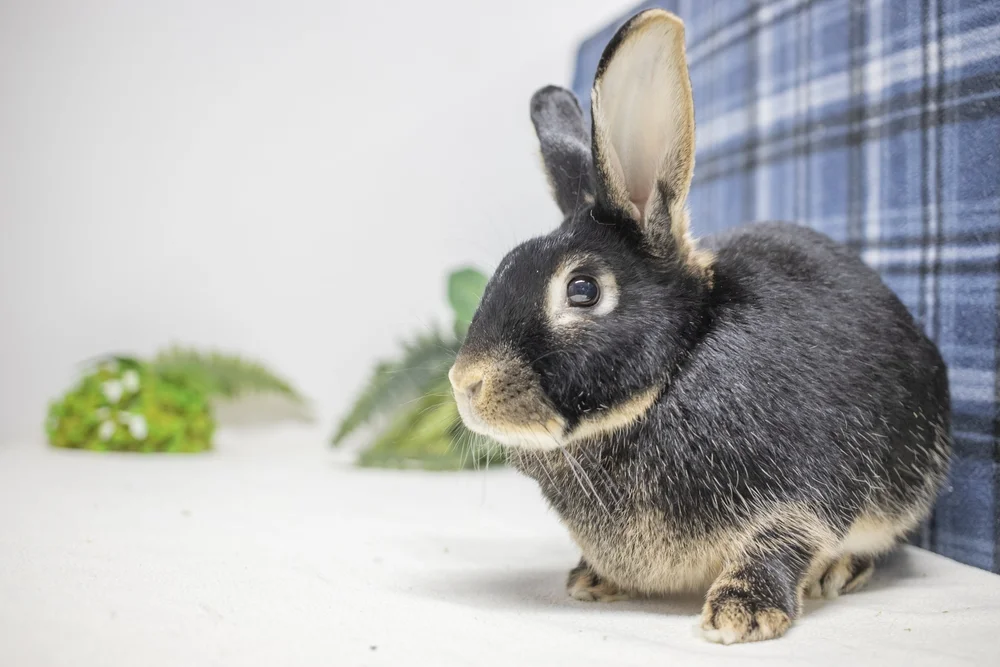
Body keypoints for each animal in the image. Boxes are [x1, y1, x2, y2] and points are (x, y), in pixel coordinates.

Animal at [448, 9, 951, 644]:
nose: (465, 384)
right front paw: (591, 579)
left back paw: (835, 573)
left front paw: (741, 614)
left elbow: (783, 540)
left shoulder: (805, 490)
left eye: (582, 290)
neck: (675, 371)